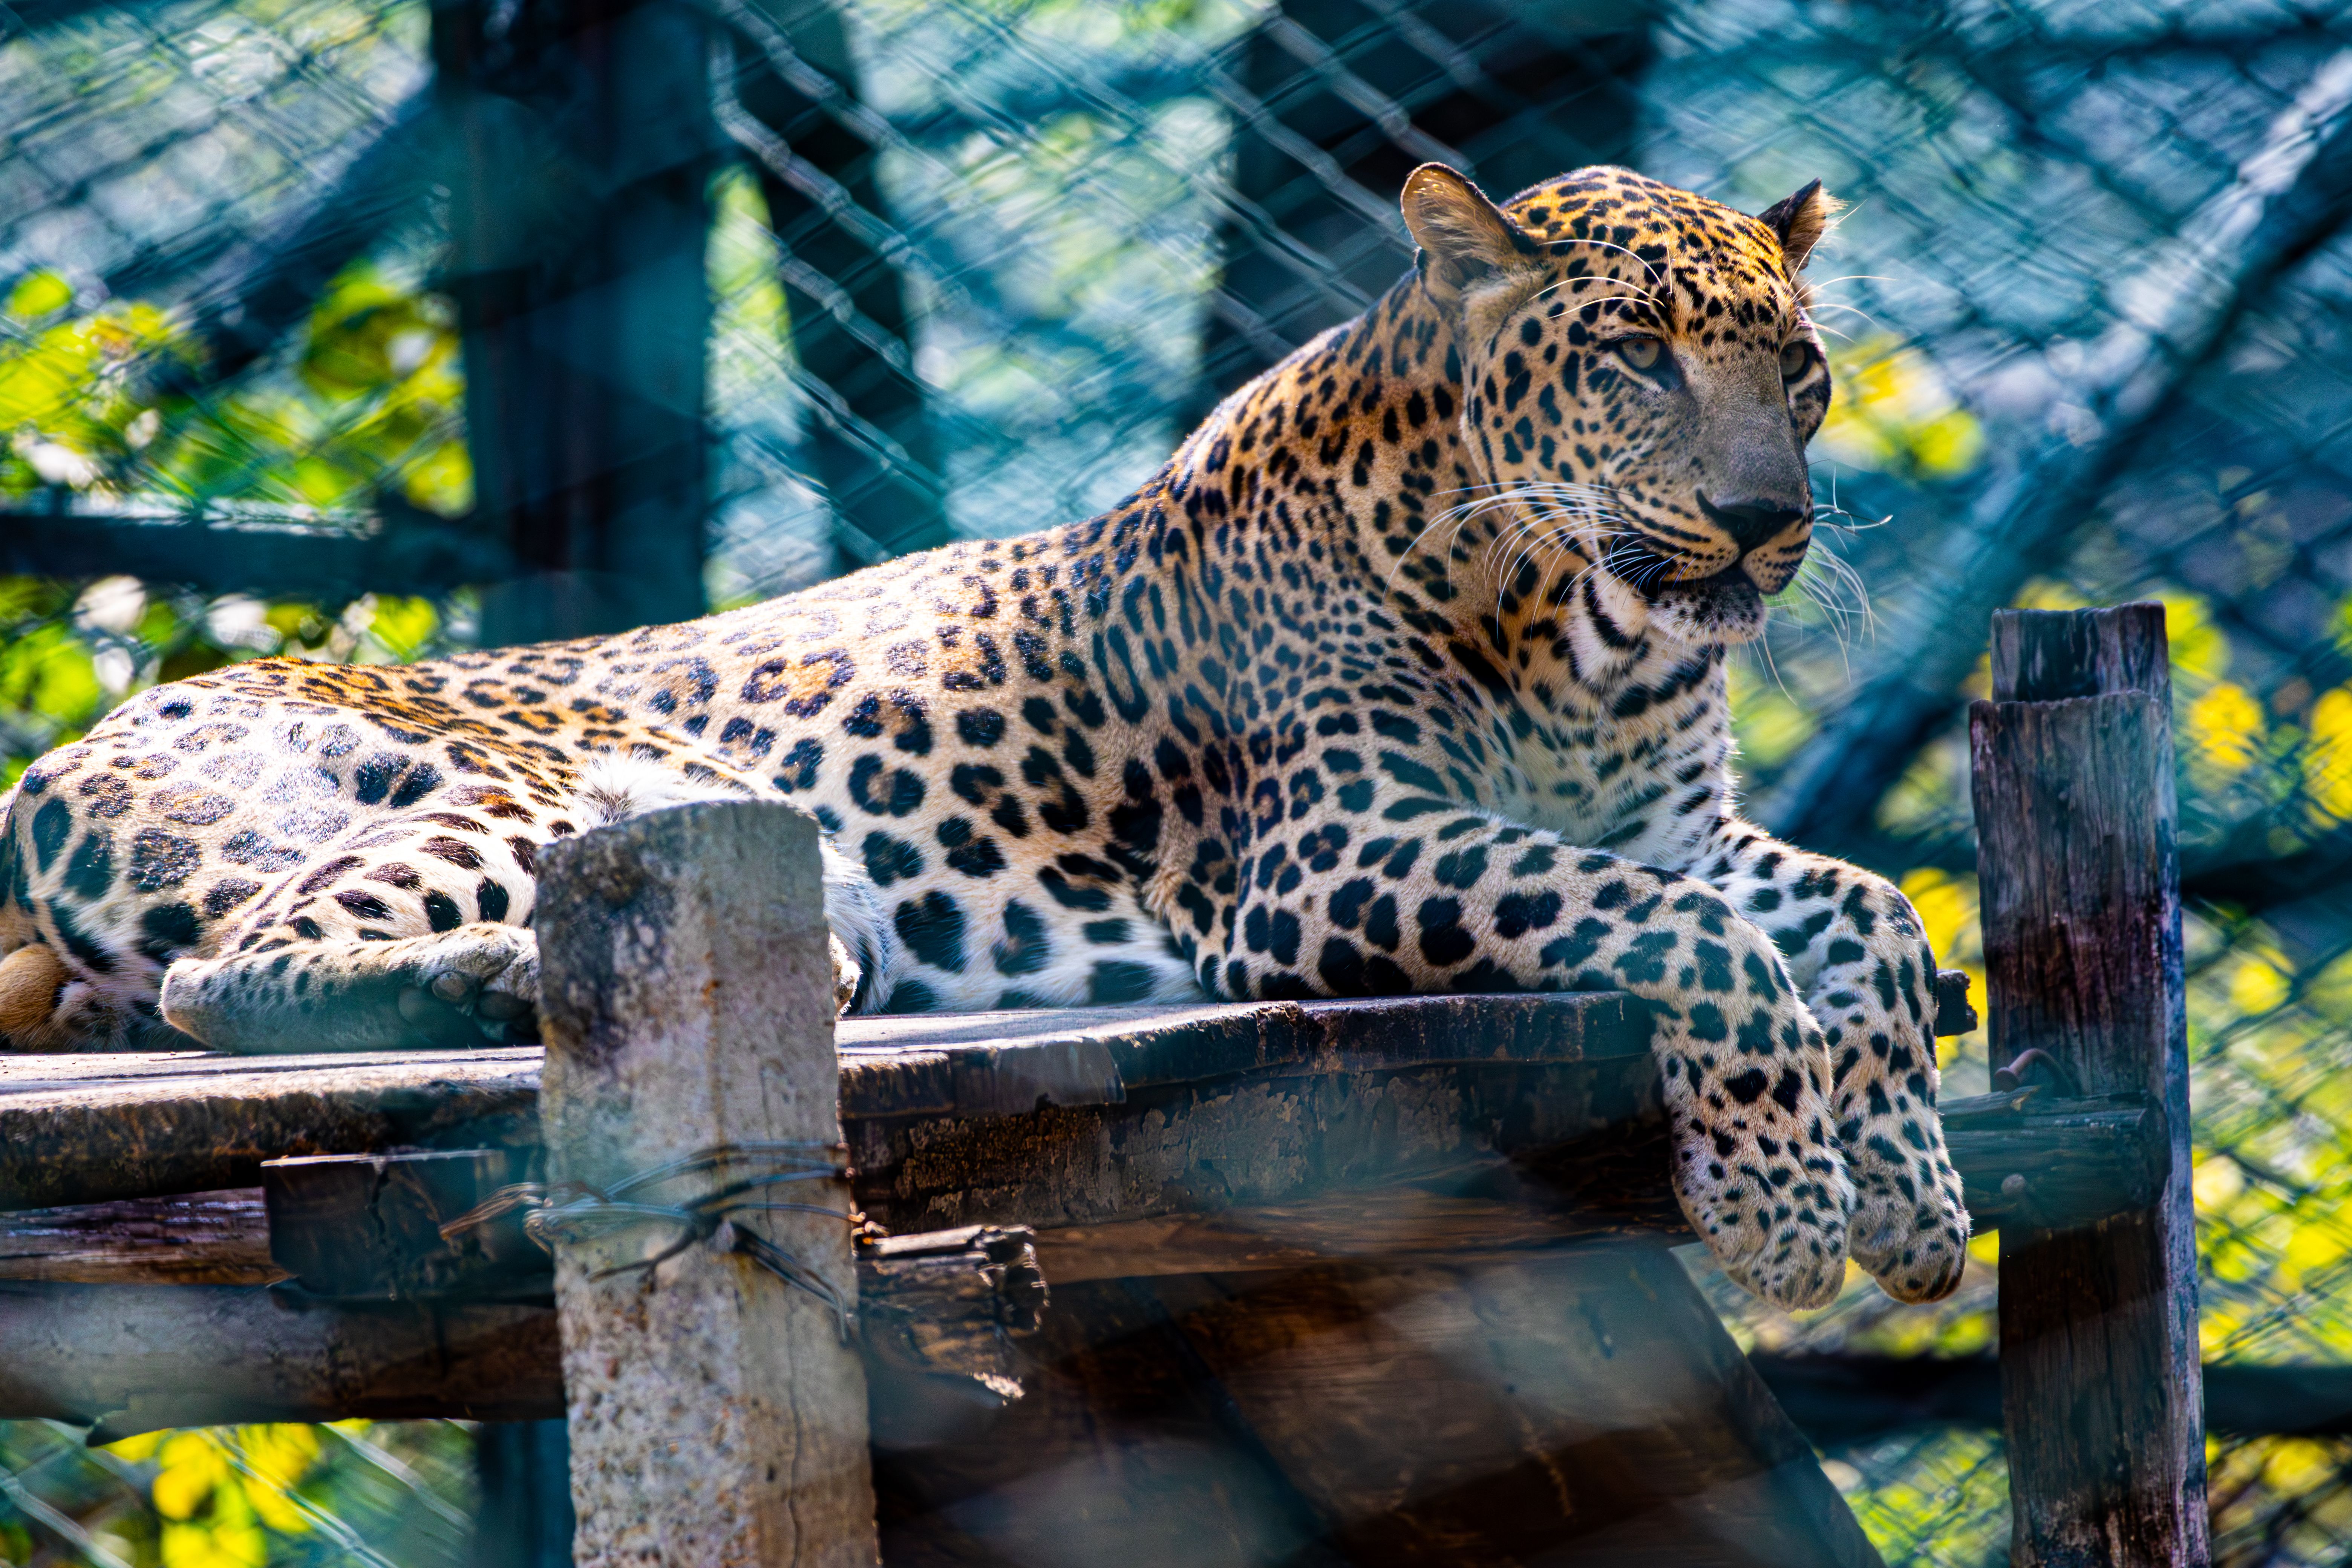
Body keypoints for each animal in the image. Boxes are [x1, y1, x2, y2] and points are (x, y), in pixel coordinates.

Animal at [0, 163, 1970, 1311]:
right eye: (1637, 355)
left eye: (1798, 368)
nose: (1766, 523)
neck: (1580, 641)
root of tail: (78, 741)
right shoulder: (1328, 851)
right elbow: (1701, 944)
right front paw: (1783, 1206)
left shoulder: (1670, 825)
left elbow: (1866, 916)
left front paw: (1910, 1192)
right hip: (533, 792)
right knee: (237, 968)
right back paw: (503, 981)